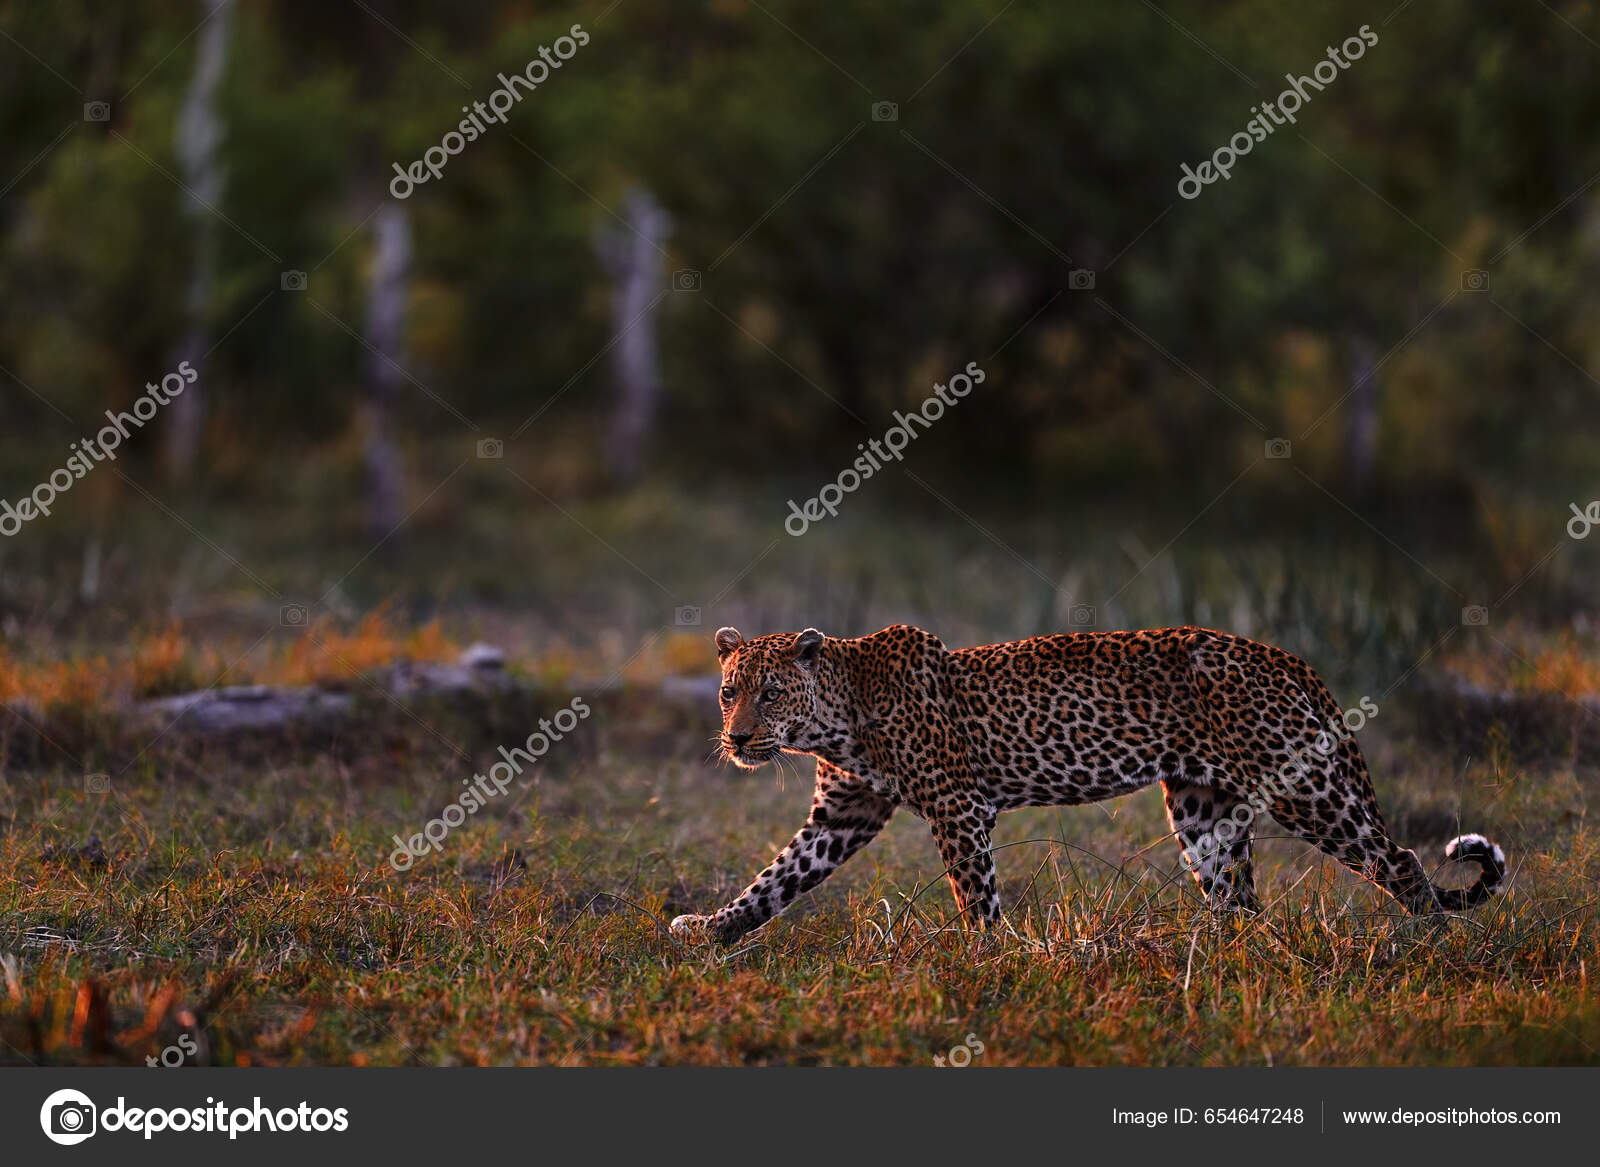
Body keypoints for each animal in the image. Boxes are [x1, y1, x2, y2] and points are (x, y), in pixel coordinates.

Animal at [668, 623, 1506, 943]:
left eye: (771, 691)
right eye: (728, 691)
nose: (737, 737)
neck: (837, 715)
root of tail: (1285, 656)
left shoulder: (958, 806)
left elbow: (976, 894)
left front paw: (989, 958)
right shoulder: (842, 813)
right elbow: (773, 880)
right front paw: (711, 929)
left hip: (1306, 786)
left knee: (1398, 859)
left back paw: (1431, 943)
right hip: (1202, 810)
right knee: (1240, 897)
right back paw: (1217, 955)